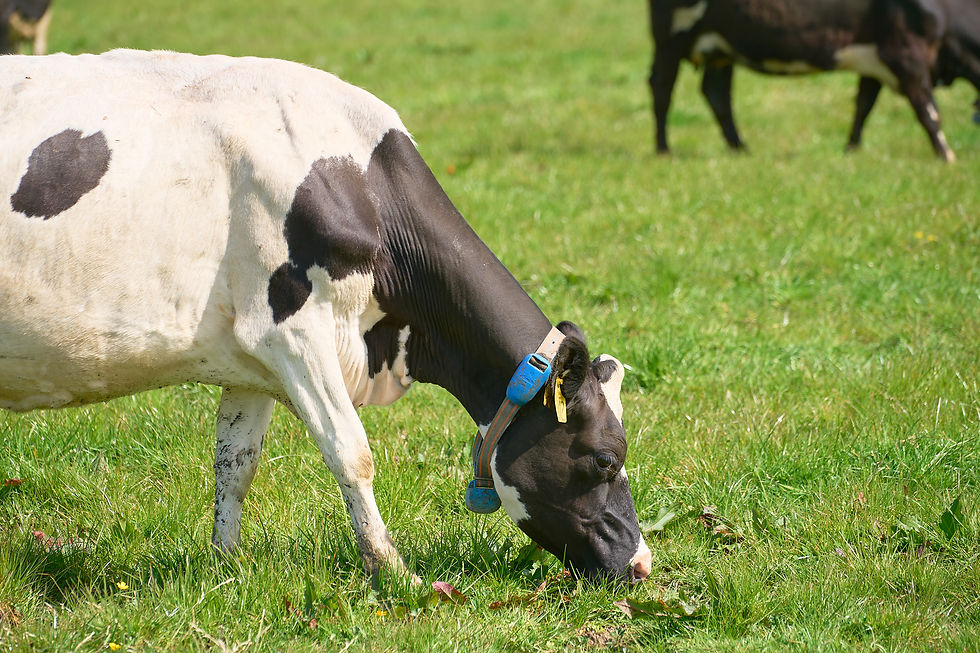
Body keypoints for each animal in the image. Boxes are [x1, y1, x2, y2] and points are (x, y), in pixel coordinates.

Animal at [0, 50, 652, 583]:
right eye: (605, 459)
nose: (642, 564)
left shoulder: (248, 358)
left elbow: (235, 464)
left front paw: (226, 564)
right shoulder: (291, 331)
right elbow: (350, 450)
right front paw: (394, 572)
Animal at [649, 0, 962, 160]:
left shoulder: (876, 60)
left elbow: (864, 105)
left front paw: (851, 149)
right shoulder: (905, 52)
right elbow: (928, 109)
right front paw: (945, 154)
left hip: (720, 48)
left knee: (716, 92)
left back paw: (739, 148)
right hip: (672, 36)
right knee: (662, 88)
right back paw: (664, 150)